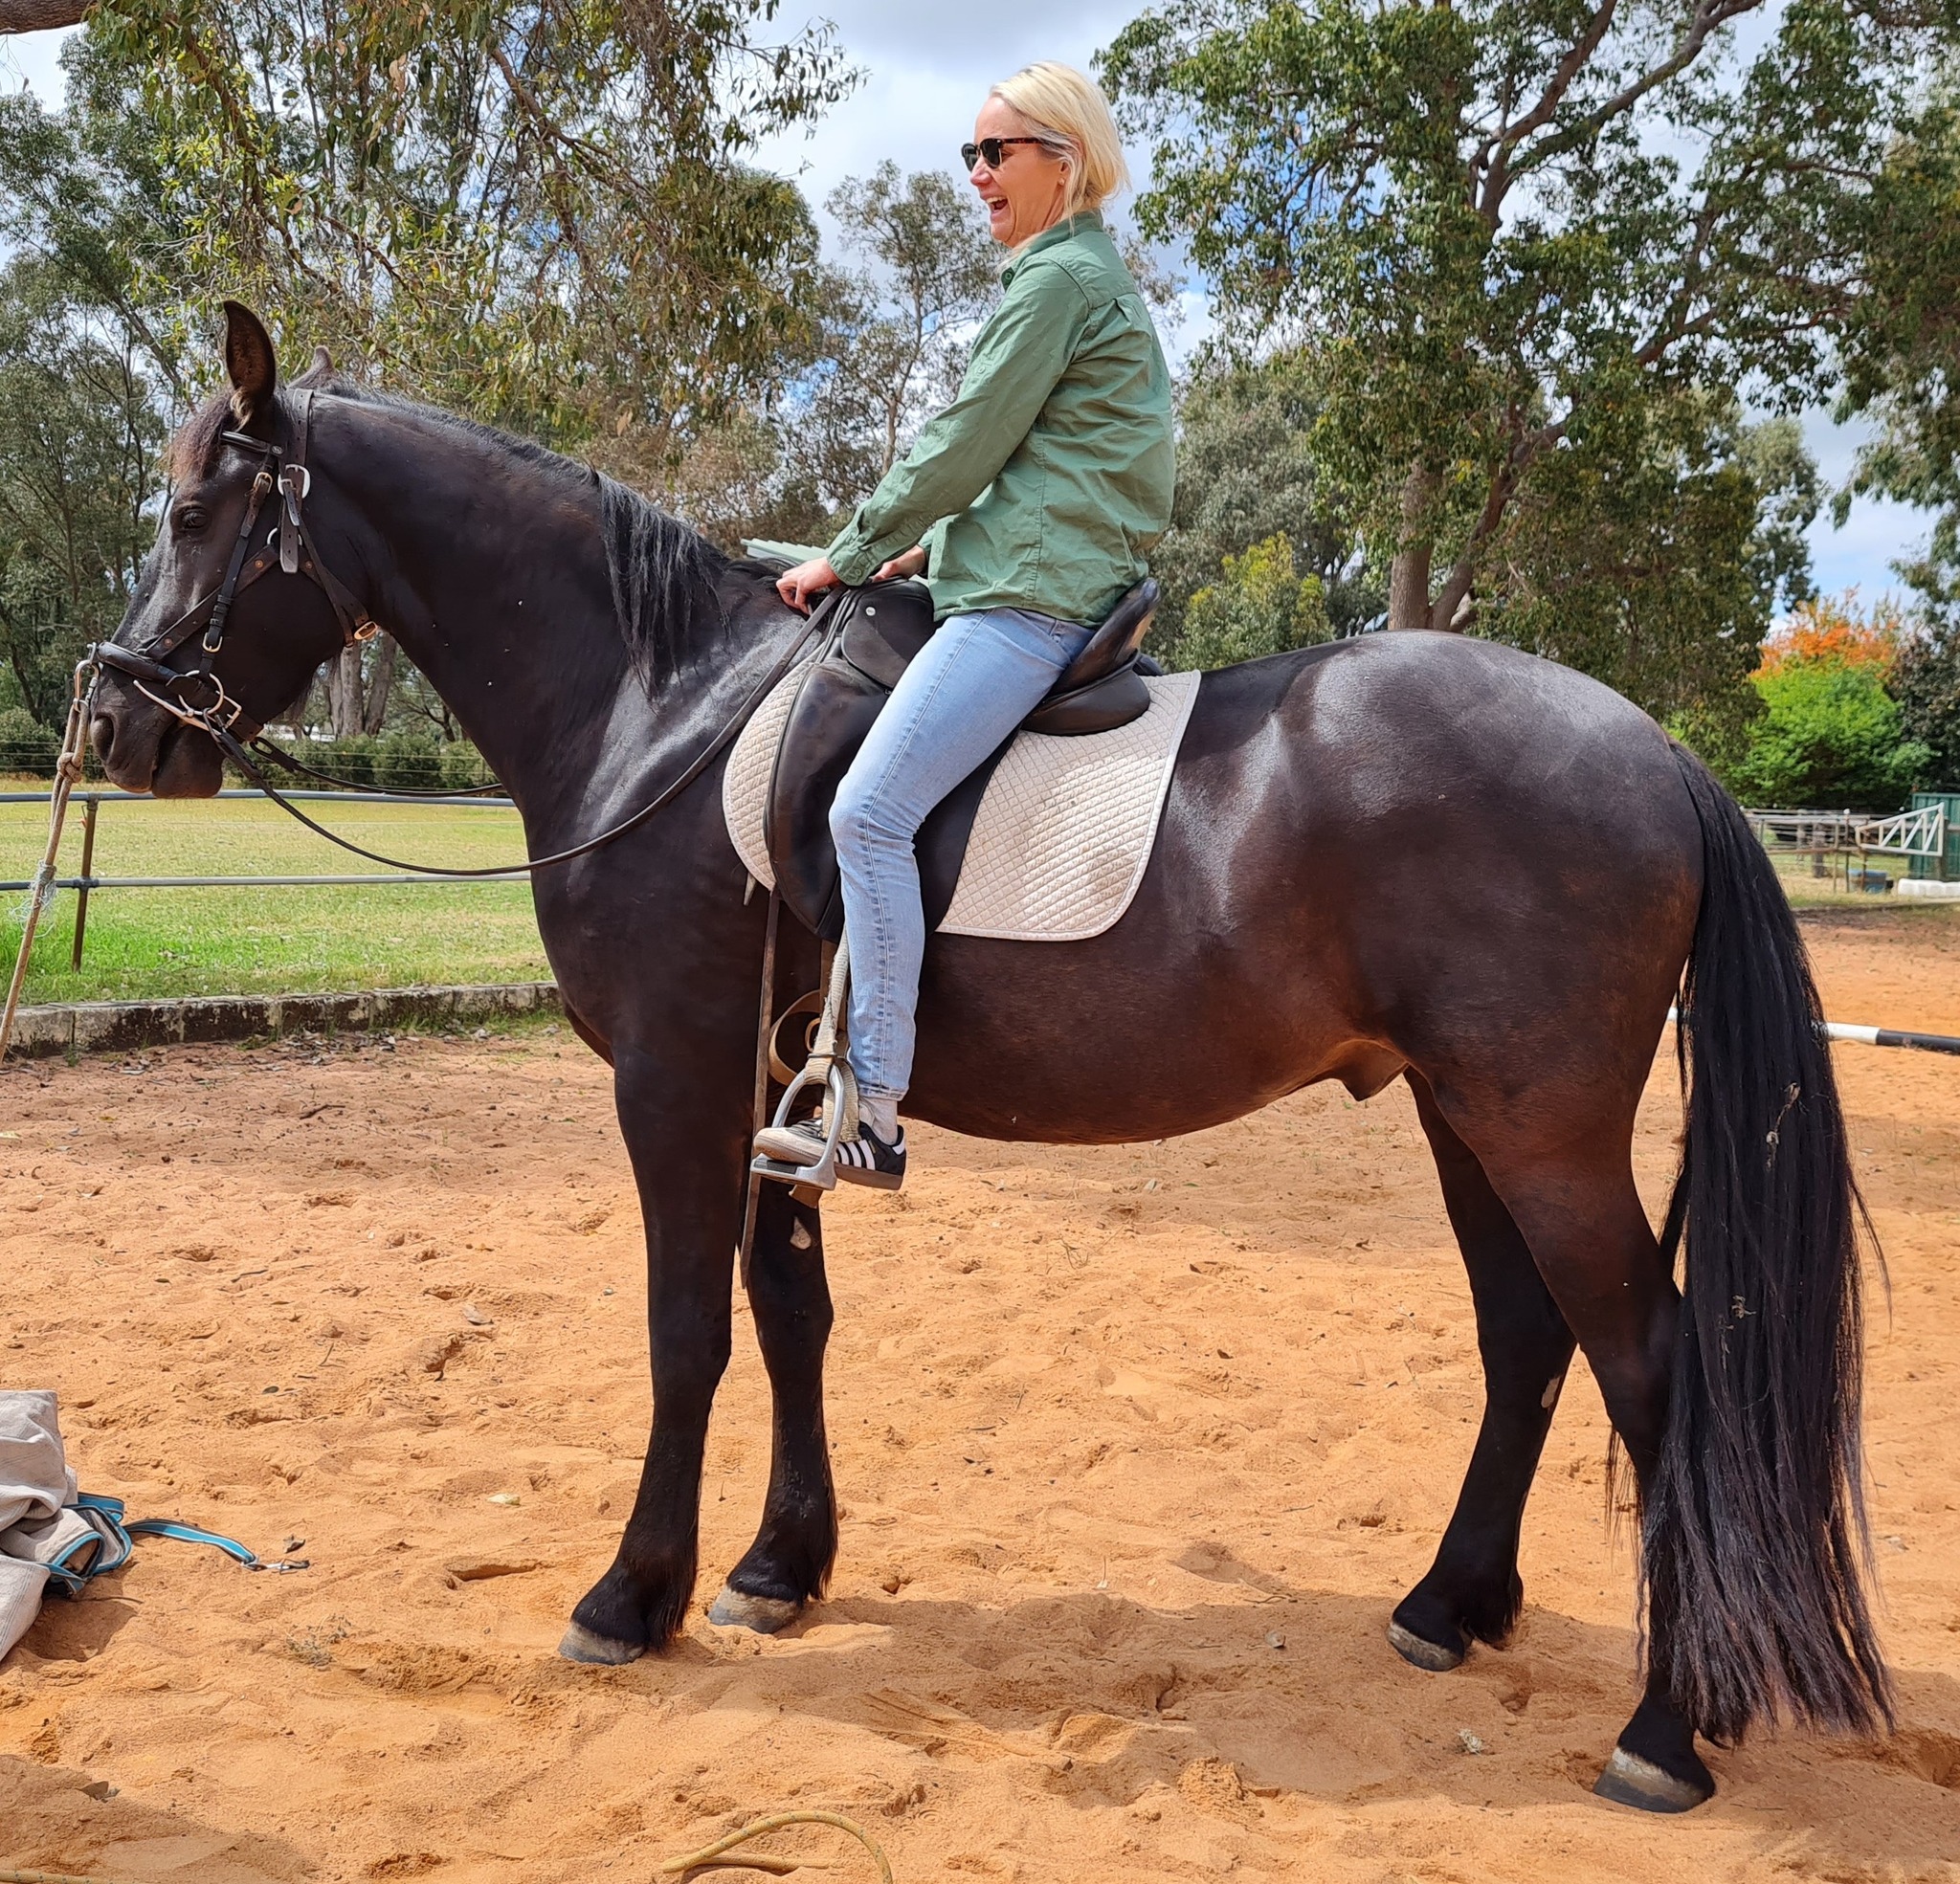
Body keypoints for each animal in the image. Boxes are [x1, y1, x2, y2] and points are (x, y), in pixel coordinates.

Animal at [87, 303, 1890, 1815]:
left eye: (188, 520)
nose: (115, 727)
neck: (660, 707)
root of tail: (1656, 748)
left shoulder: (672, 1080)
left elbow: (687, 1335)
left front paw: (633, 1593)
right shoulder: (772, 1098)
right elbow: (791, 1317)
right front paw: (778, 1567)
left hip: (1540, 1128)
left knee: (1652, 1370)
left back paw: (1662, 1729)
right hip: (1465, 1114)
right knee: (1526, 1338)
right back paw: (1451, 1605)